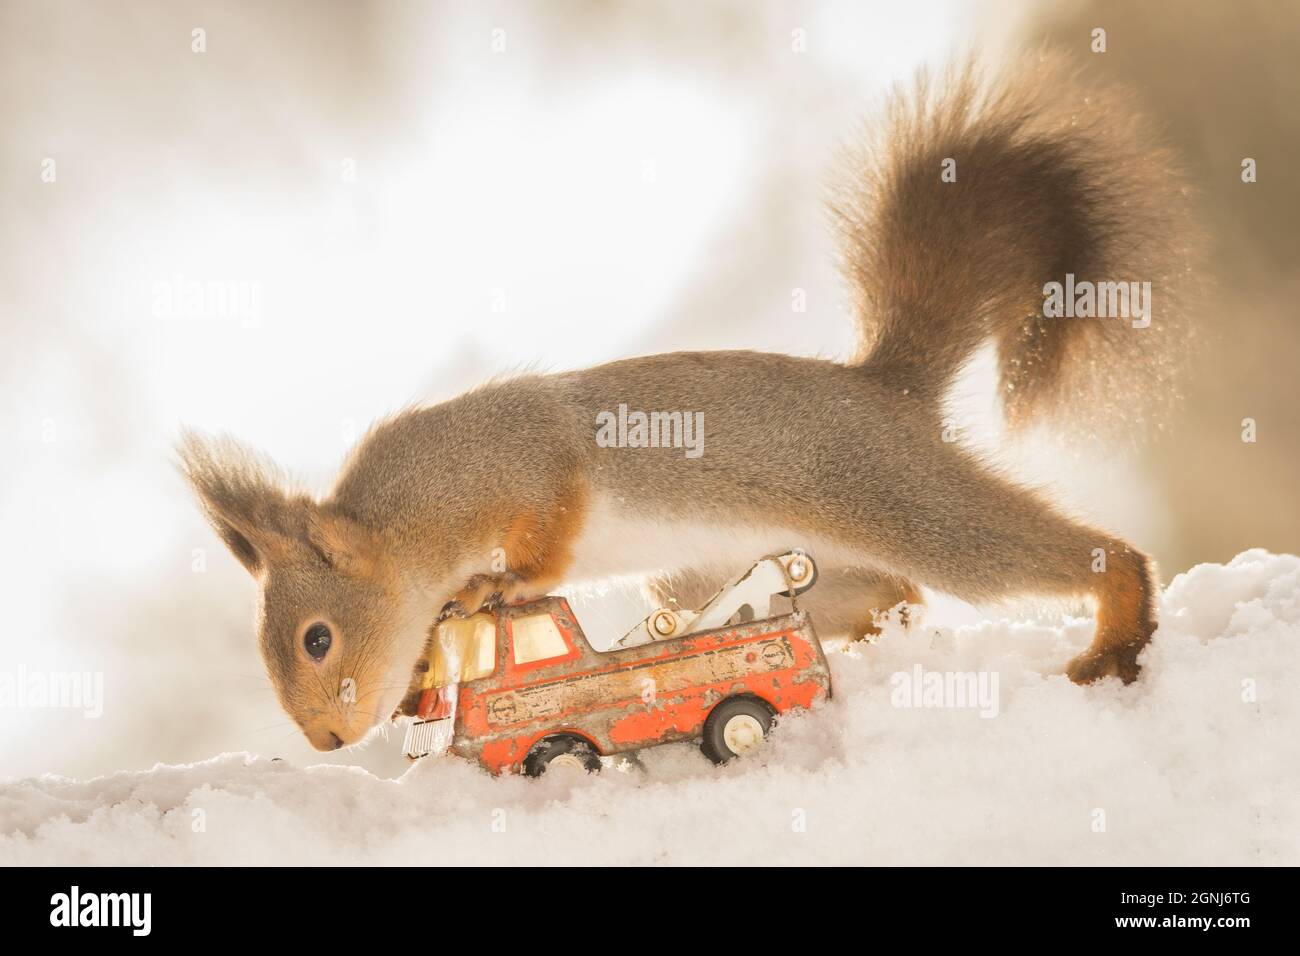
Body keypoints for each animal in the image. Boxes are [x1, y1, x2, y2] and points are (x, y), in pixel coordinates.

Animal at [179, 55, 1199, 751]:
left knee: (1047, 557)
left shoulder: (525, 460)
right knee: (890, 601)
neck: (406, 523)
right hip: (728, 572)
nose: (325, 740)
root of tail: (884, 389)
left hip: (901, 499)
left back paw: (1116, 630)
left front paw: (502, 585)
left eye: (316, 638)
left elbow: (552, 521)